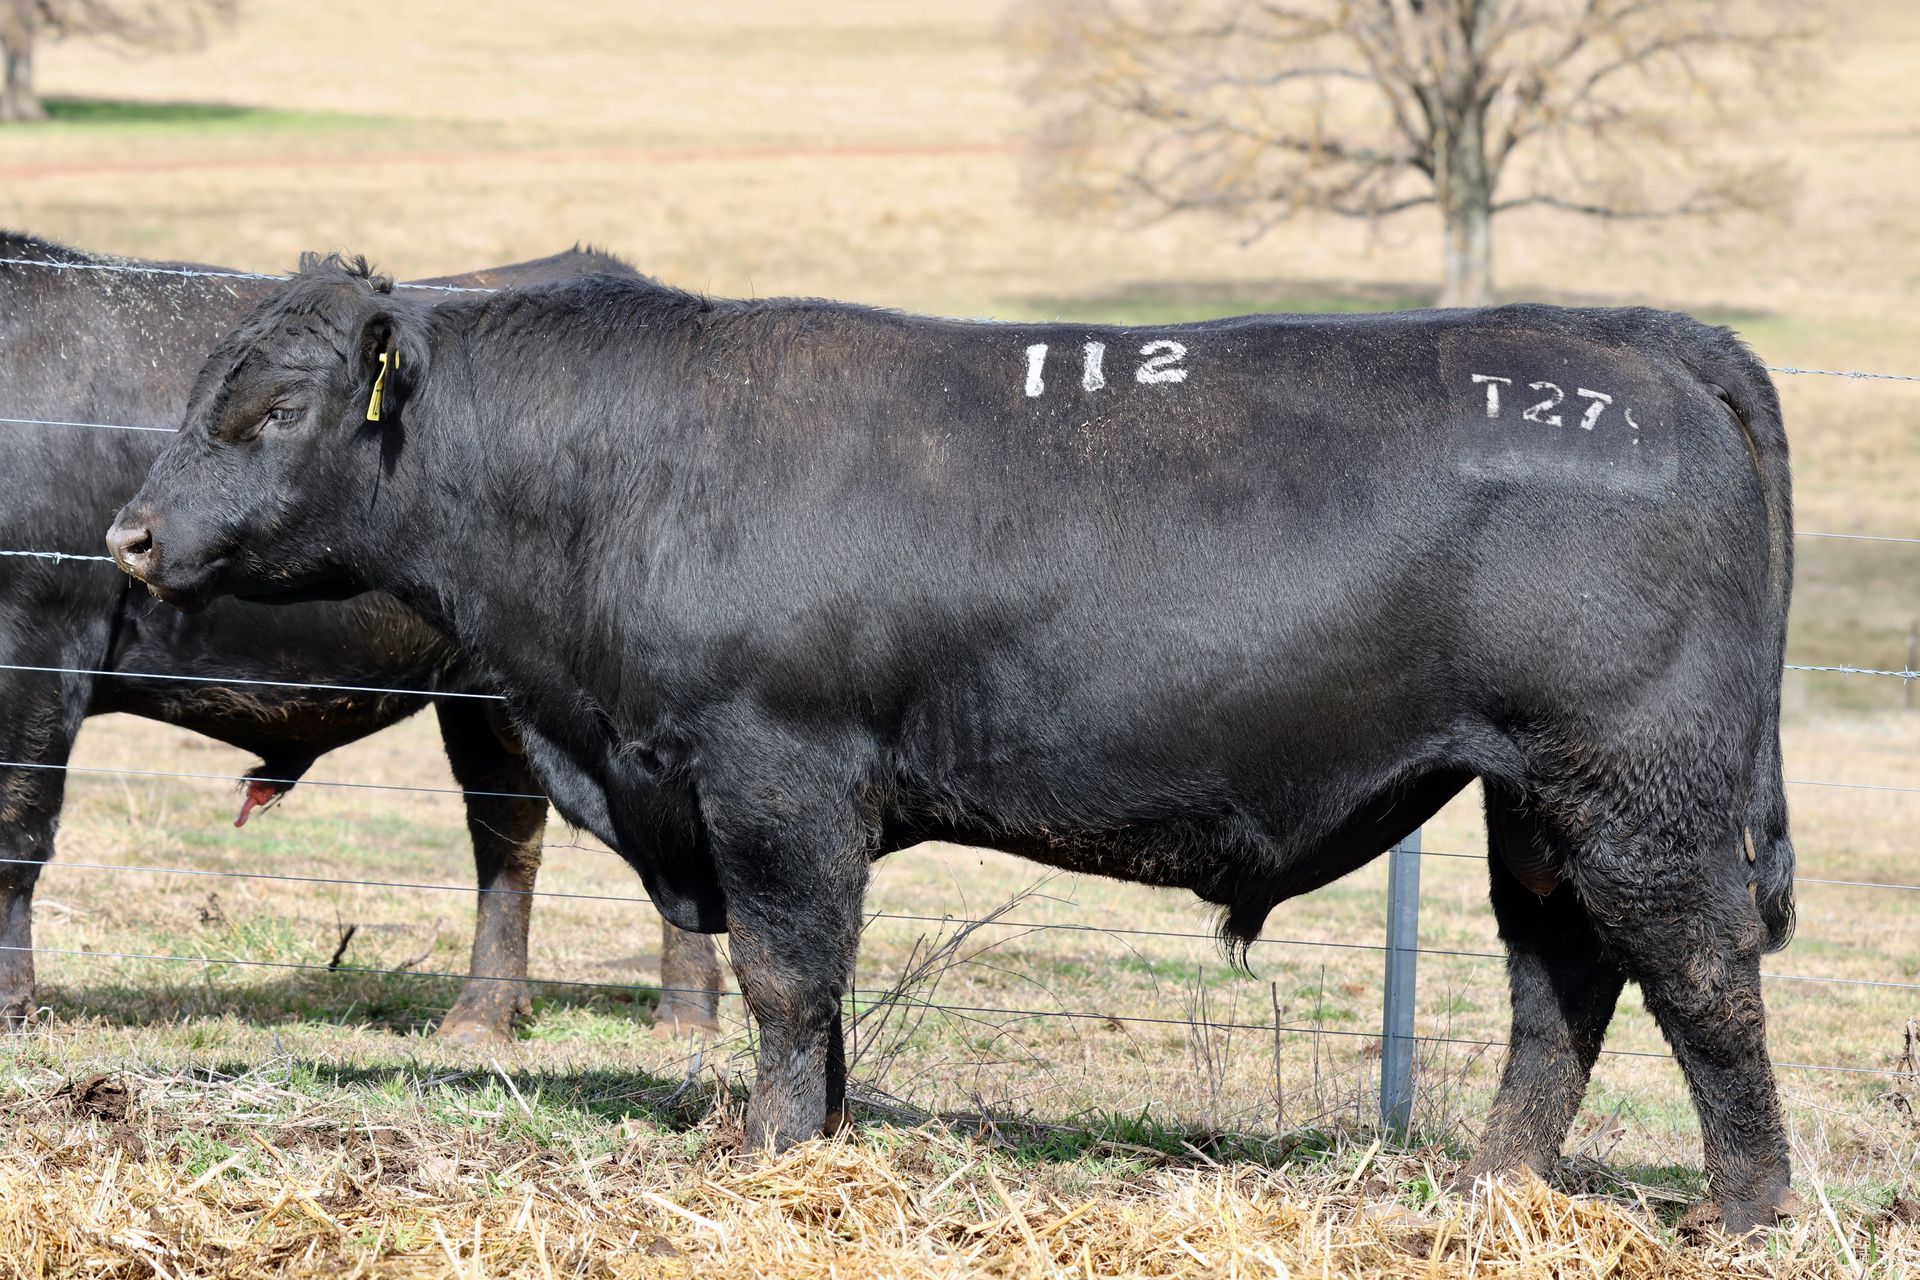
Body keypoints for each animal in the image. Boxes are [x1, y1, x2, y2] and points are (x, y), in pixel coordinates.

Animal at [0, 234, 723, 1042]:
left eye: (279, 410)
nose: (131, 540)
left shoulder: (38, 648)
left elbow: (16, 833)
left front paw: (11, 1004)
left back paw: (684, 1014)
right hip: (483, 698)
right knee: (506, 834)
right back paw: (482, 1012)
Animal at [108, 254, 1797, 1231]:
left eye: (273, 405)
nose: (127, 533)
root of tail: (1626, 337)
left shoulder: (777, 776)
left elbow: (787, 976)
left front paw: (775, 1161)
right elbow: (821, 996)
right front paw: (824, 1137)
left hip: (1639, 787)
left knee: (1703, 978)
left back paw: (1749, 1218)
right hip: (1541, 801)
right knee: (1559, 985)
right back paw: (1490, 1197)